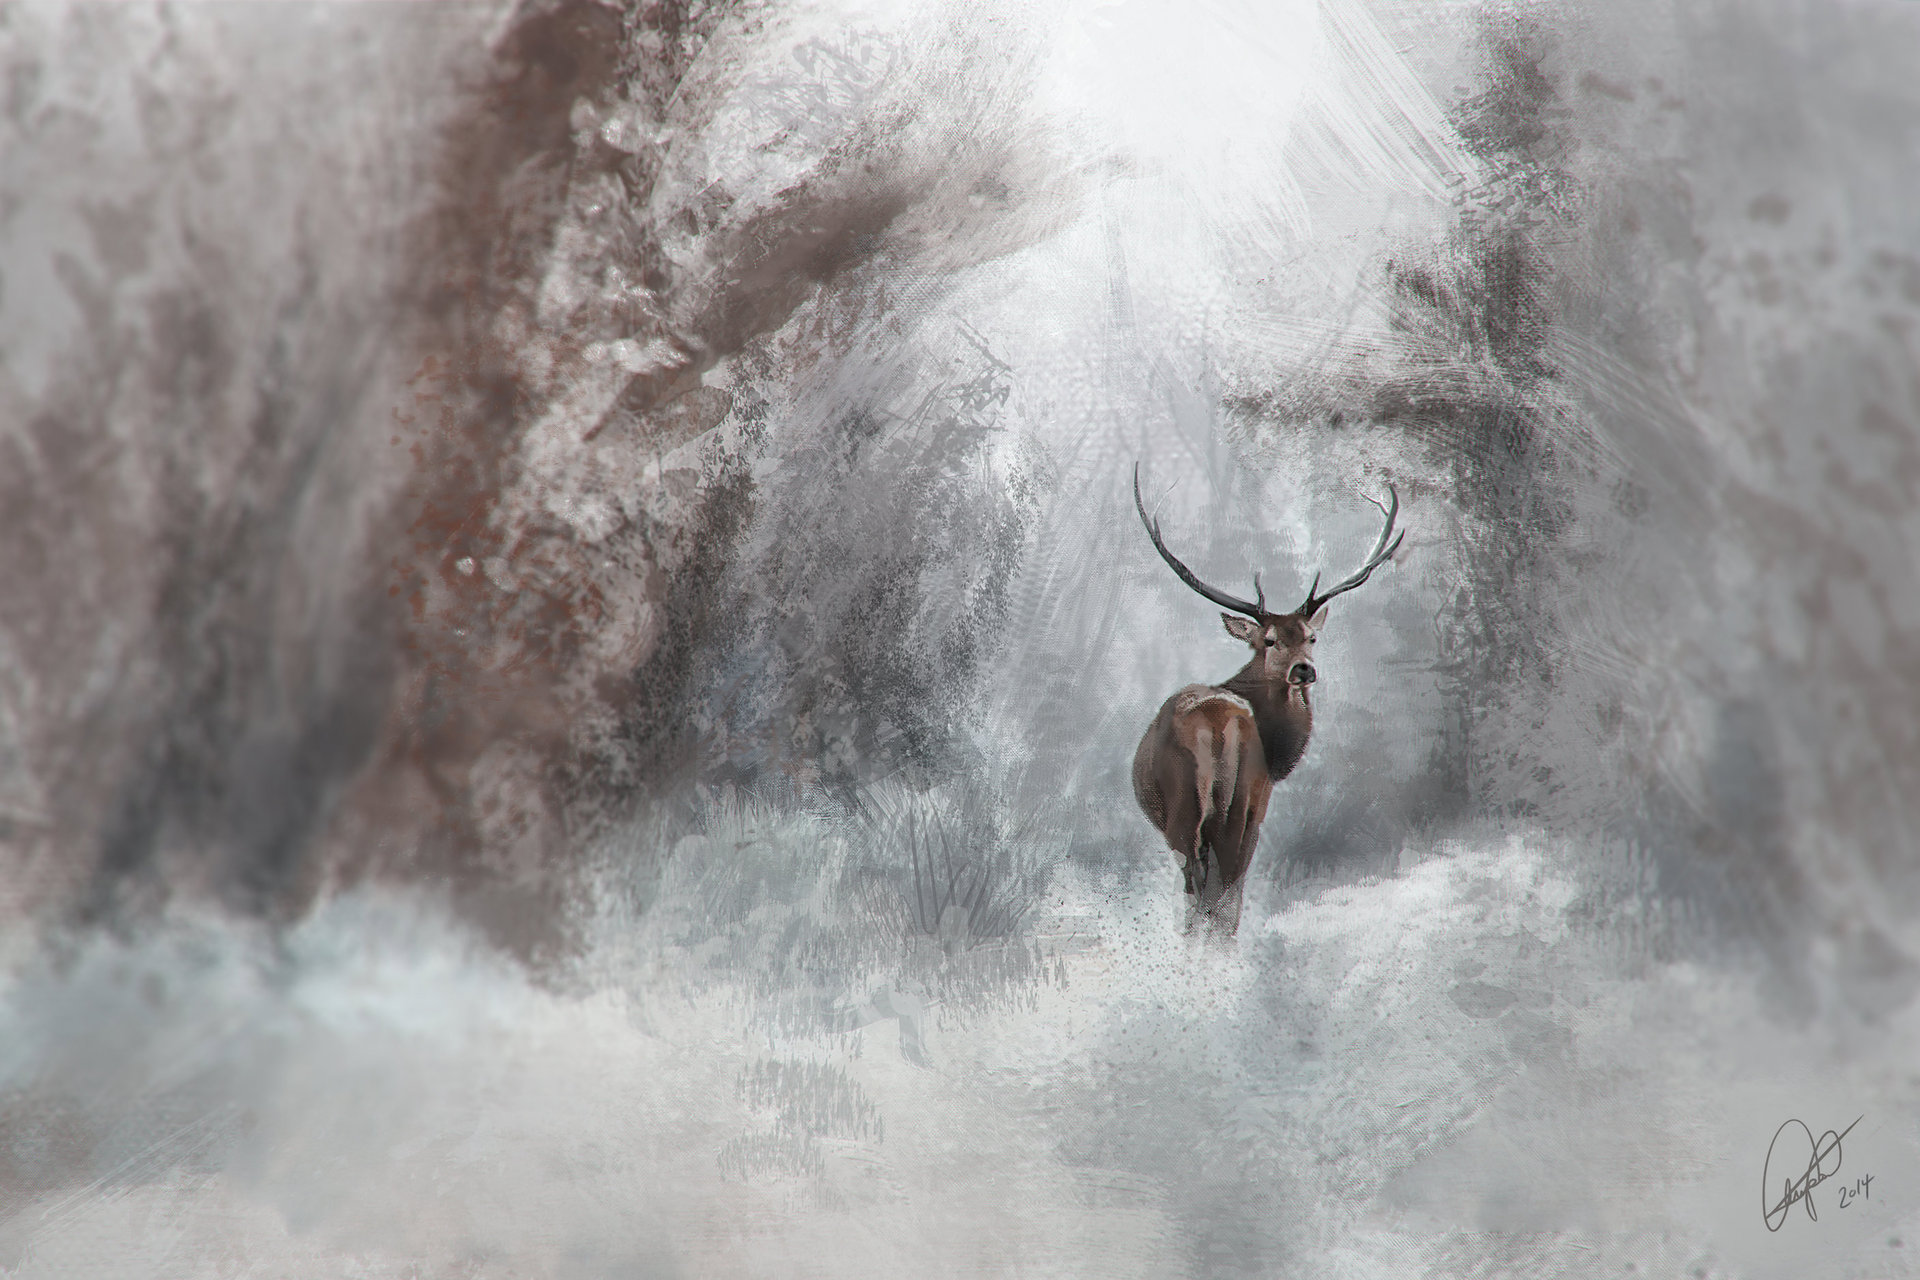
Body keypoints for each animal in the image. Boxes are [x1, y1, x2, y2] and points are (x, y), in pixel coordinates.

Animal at [1130, 463, 1404, 931]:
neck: (1281, 755)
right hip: (1230, 810)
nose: (1303, 669)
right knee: (1219, 894)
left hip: (1203, 816)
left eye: (1311, 637)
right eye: (1271, 640)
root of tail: (1218, 728)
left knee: (1209, 893)